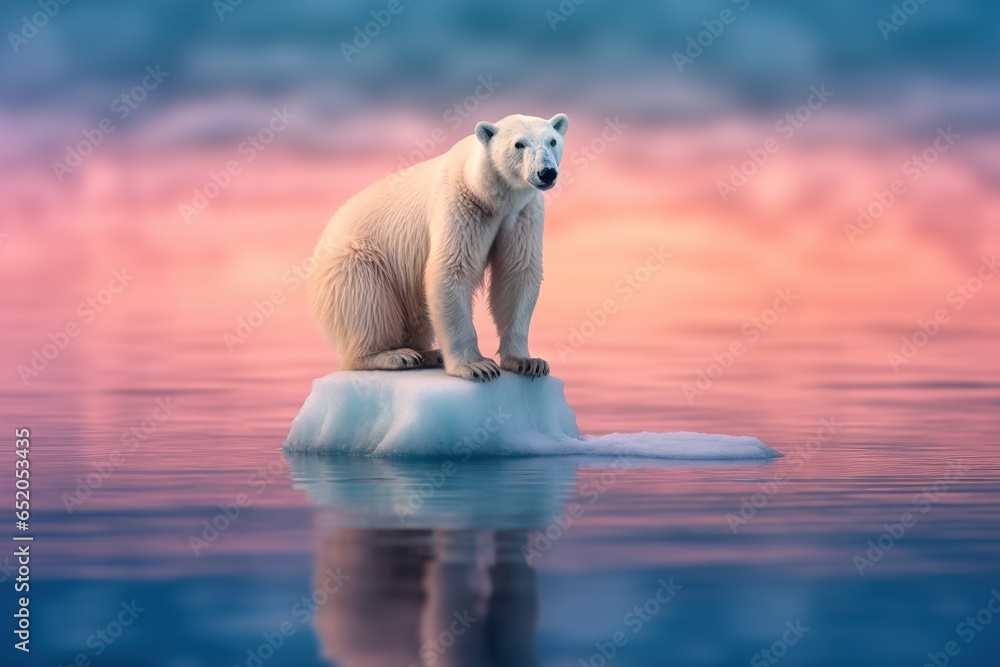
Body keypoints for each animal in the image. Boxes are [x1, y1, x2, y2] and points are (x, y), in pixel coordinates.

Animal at [307, 113, 569, 382]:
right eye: (519, 144)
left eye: (552, 141)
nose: (546, 172)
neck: (489, 195)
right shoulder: (461, 205)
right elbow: (452, 269)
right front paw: (477, 366)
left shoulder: (521, 215)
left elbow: (517, 273)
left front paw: (528, 362)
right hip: (355, 261)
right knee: (366, 299)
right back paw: (394, 355)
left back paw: (429, 354)